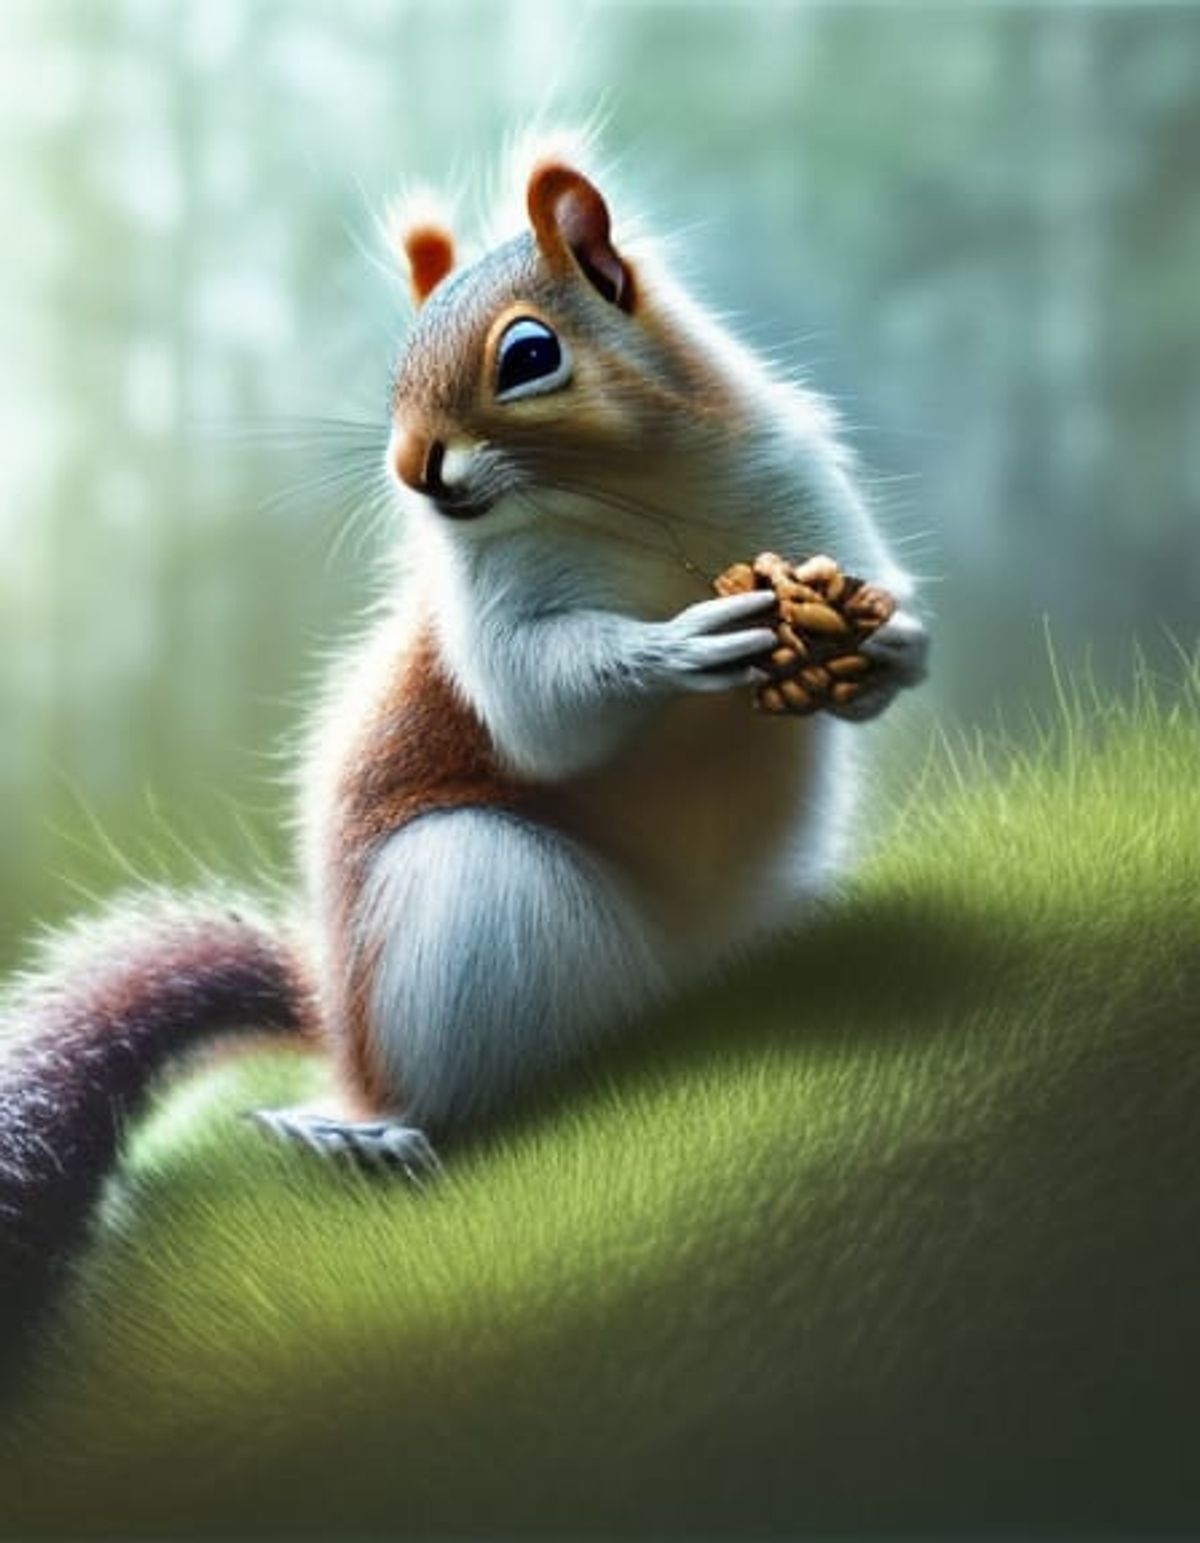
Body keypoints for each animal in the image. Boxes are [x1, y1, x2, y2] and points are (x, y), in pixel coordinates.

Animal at [0, 145, 928, 1355]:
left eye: (529, 354)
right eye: (392, 365)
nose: (411, 469)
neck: (629, 495)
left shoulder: (797, 485)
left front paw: (895, 644)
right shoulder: (489, 610)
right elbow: (541, 705)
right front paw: (677, 645)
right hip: (467, 884)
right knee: (429, 1082)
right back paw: (358, 1134)